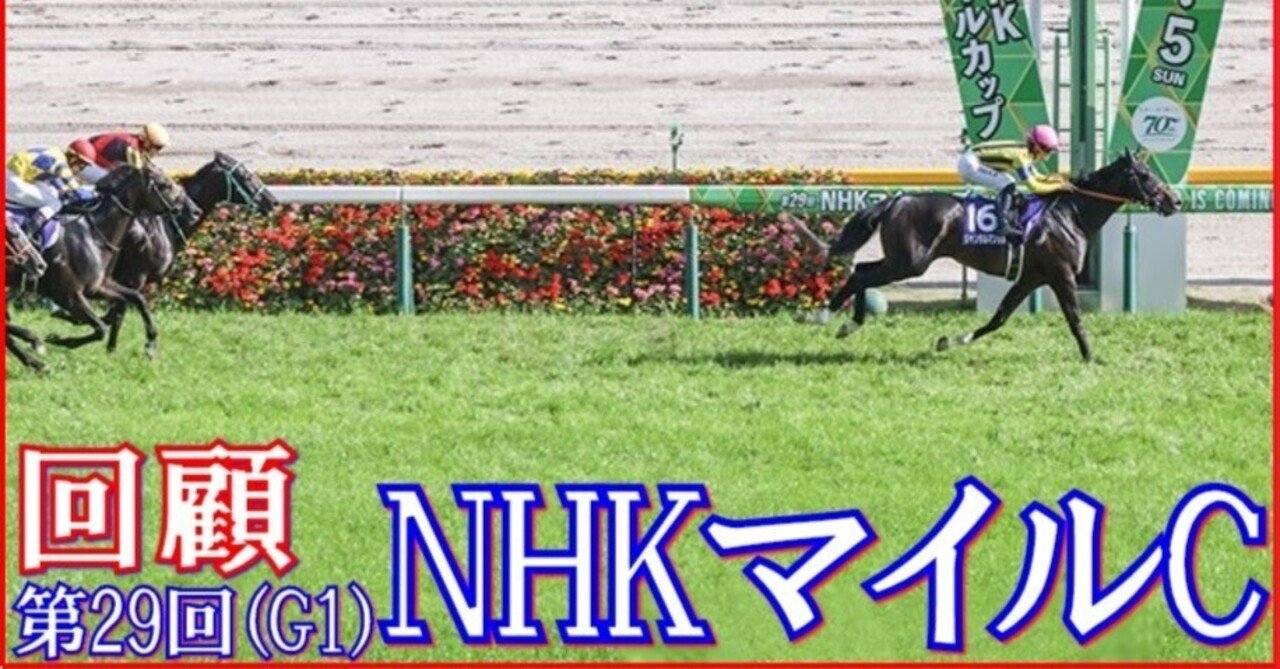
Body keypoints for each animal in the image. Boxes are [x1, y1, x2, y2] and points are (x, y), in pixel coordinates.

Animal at [19, 163, 202, 358]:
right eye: (164, 185)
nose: (195, 211)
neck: (93, 234)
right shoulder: (69, 294)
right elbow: (104, 325)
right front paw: (63, 340)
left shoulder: (101, 286)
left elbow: (134, 300)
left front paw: (150, 342)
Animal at [102, 151, 279, 352]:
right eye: (247, 176)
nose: (272, 202)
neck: (165, 224)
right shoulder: (134, 276)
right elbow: (118, 312)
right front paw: (115, 348)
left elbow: (114, 311)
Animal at [785, 150, 1181, 362]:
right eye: (1145, 175)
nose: (1175, 200)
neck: (1070, 215)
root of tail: (898, 199)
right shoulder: (1061, 274)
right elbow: (1075, 319)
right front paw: (1090, 357)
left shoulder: (1031, 277)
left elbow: (999, 318)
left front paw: (949, 341)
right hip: (911, 262)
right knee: (862, 274)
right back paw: (826, 316)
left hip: (901, 260)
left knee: (863, 269)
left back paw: (845, 322)